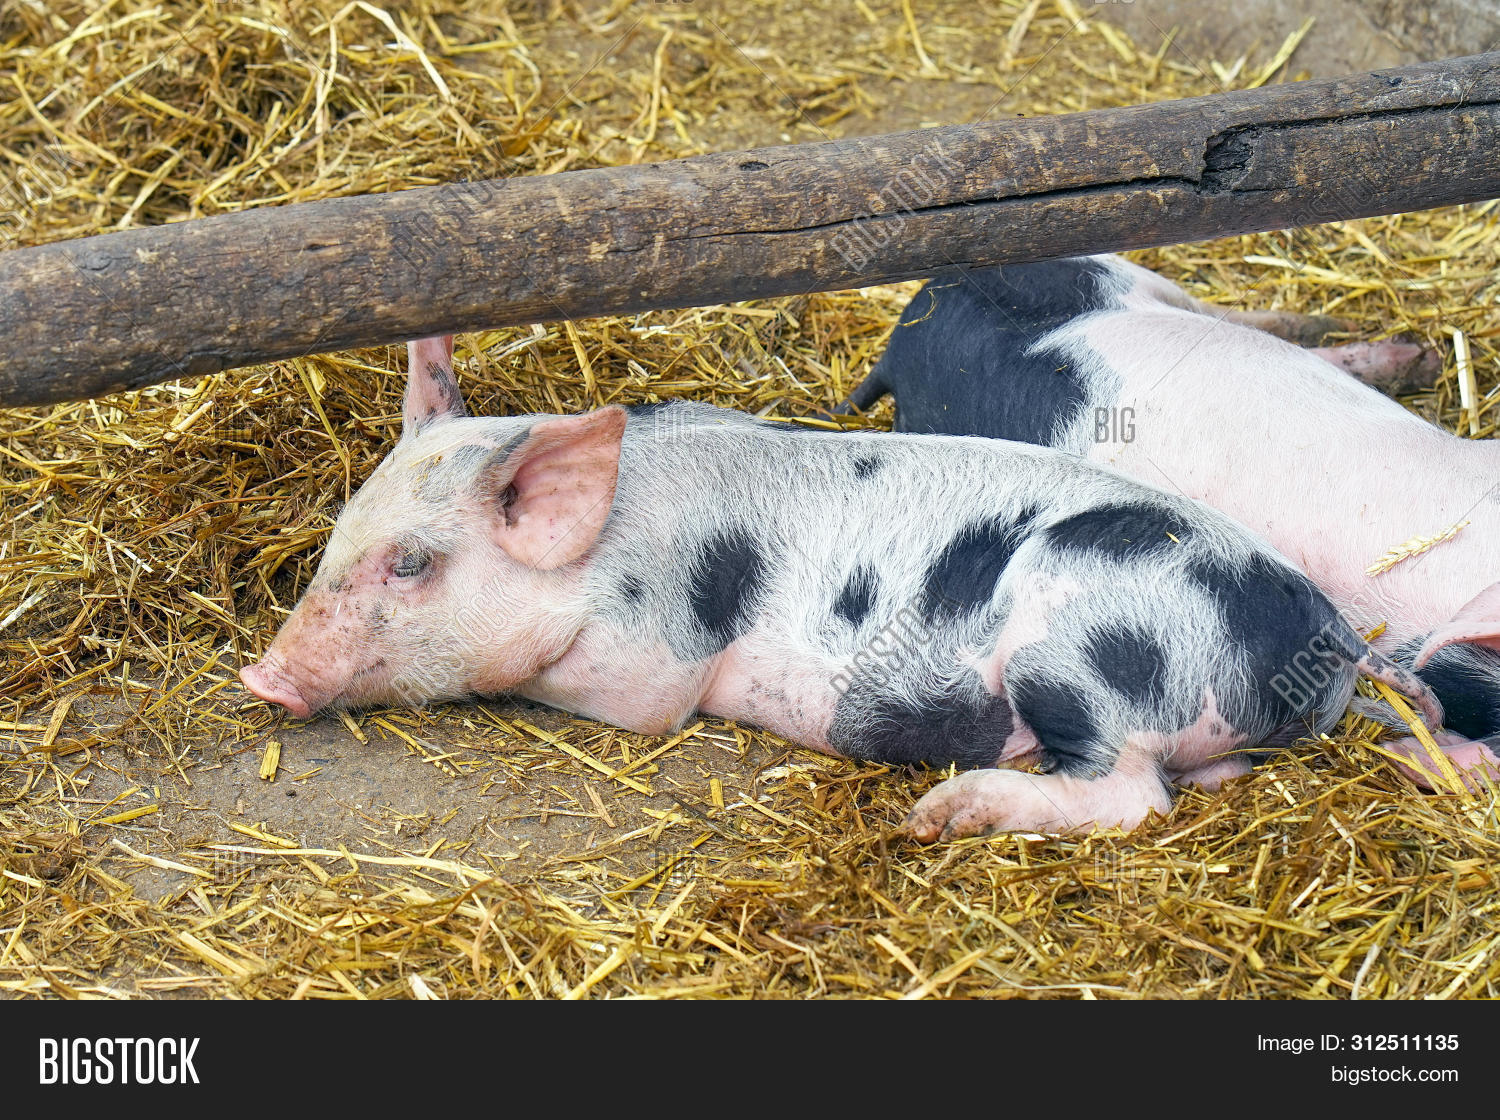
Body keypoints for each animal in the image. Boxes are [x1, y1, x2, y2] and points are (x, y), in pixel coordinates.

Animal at [241, 334, 1444, 841]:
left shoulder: (654, 661)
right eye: (340, 531)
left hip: (1084, 647)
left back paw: (939, 815)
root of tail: (1333, 639)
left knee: (1130, 795)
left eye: (413, 563)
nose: (264, 676)